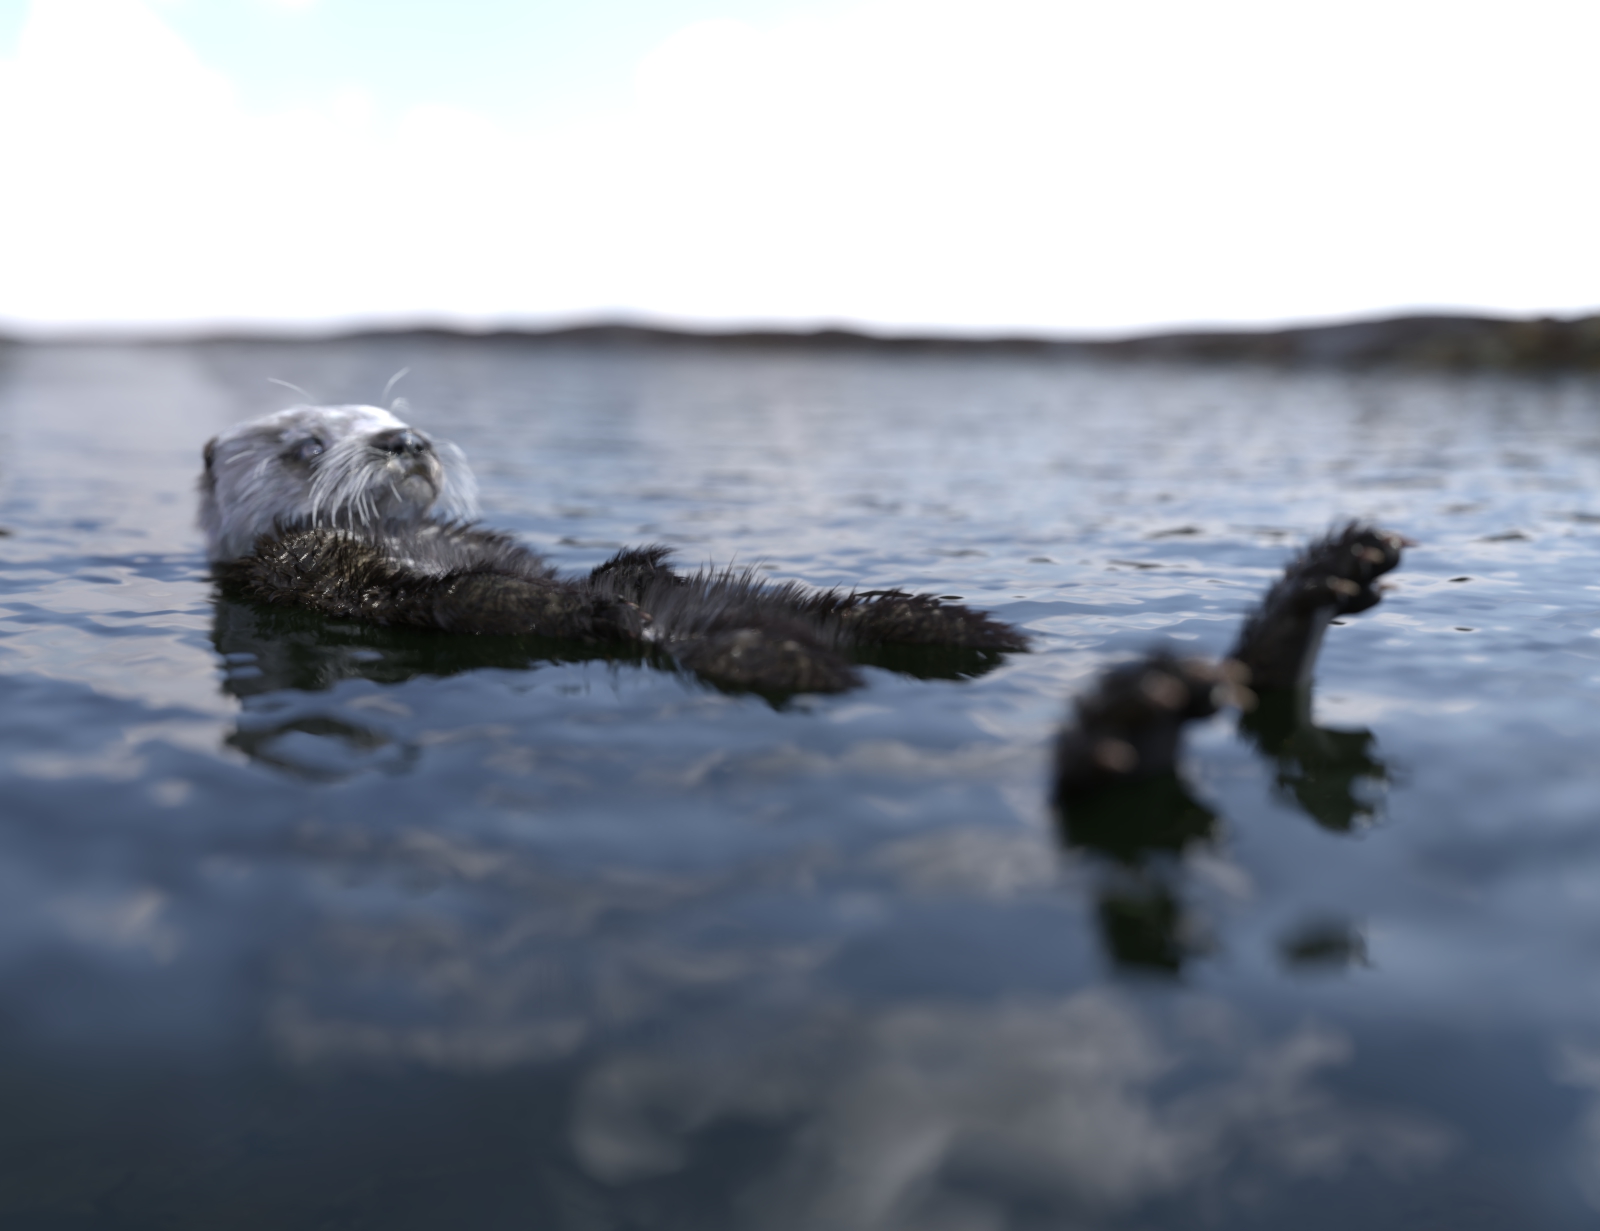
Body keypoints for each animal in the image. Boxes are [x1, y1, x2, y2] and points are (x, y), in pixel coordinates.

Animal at [200, 403, 1027, 695]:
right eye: (309, 443)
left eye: (384, 413)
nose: (405, 440)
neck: (398, 533)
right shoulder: (295, 568)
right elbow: (382, 581)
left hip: (776, 597)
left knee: (846, 610)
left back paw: (958, 623)